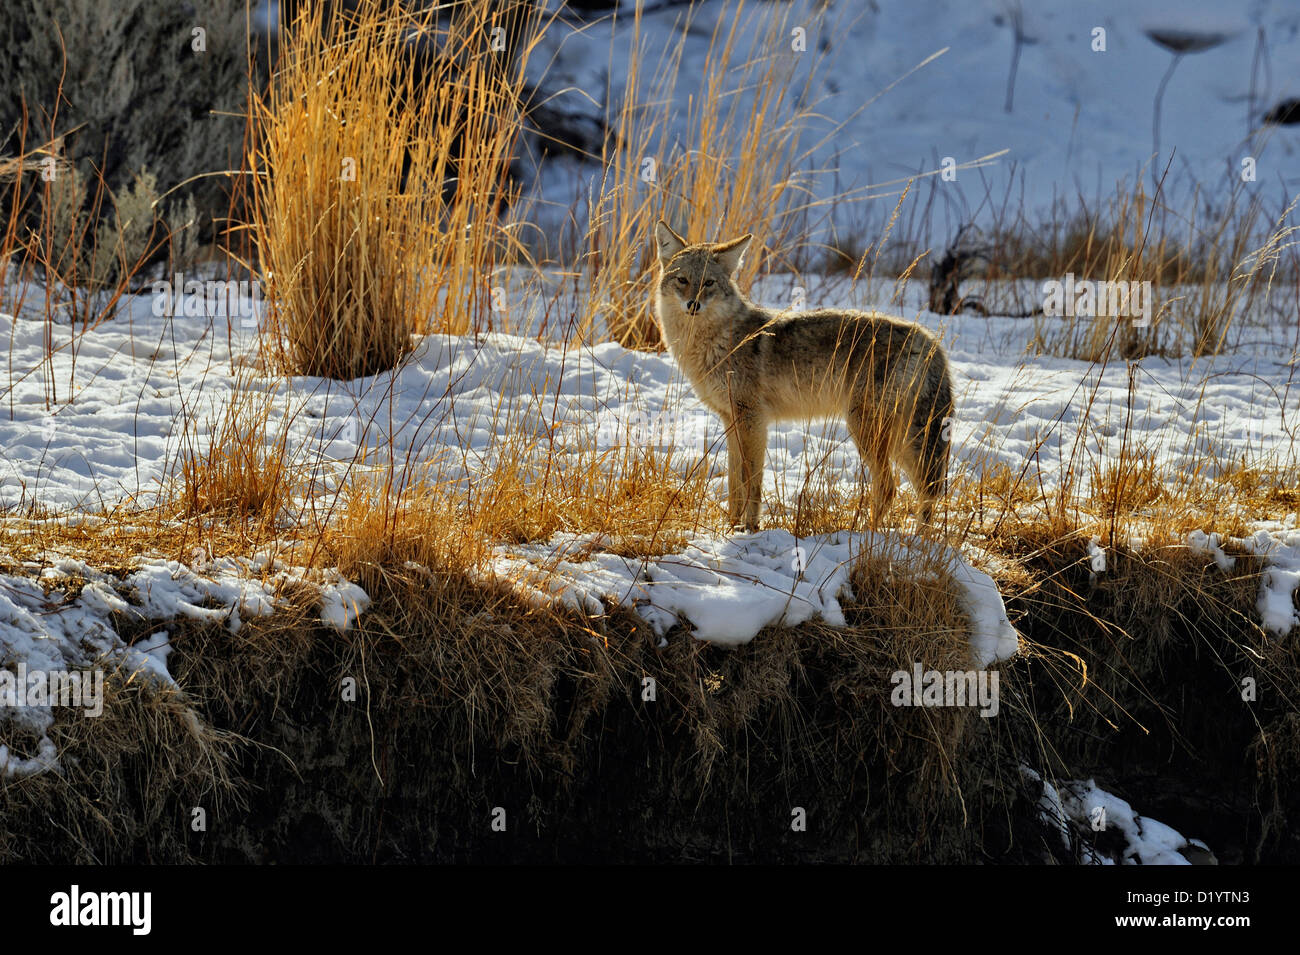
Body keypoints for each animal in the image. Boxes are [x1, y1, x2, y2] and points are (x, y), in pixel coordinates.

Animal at [653, 220, 954, 531]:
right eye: (682, 280)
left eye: (708, 283)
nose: (693, 305)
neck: (717, 341)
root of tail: (930, 341)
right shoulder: (731, 420)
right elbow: (735, 484)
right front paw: (730, 527)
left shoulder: (753, 420)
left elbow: (751, 483)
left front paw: (748, 529)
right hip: (900, 439)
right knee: (923, 489)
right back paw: (916, 538)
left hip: (871, 432)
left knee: (891, 487)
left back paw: (866, 534)